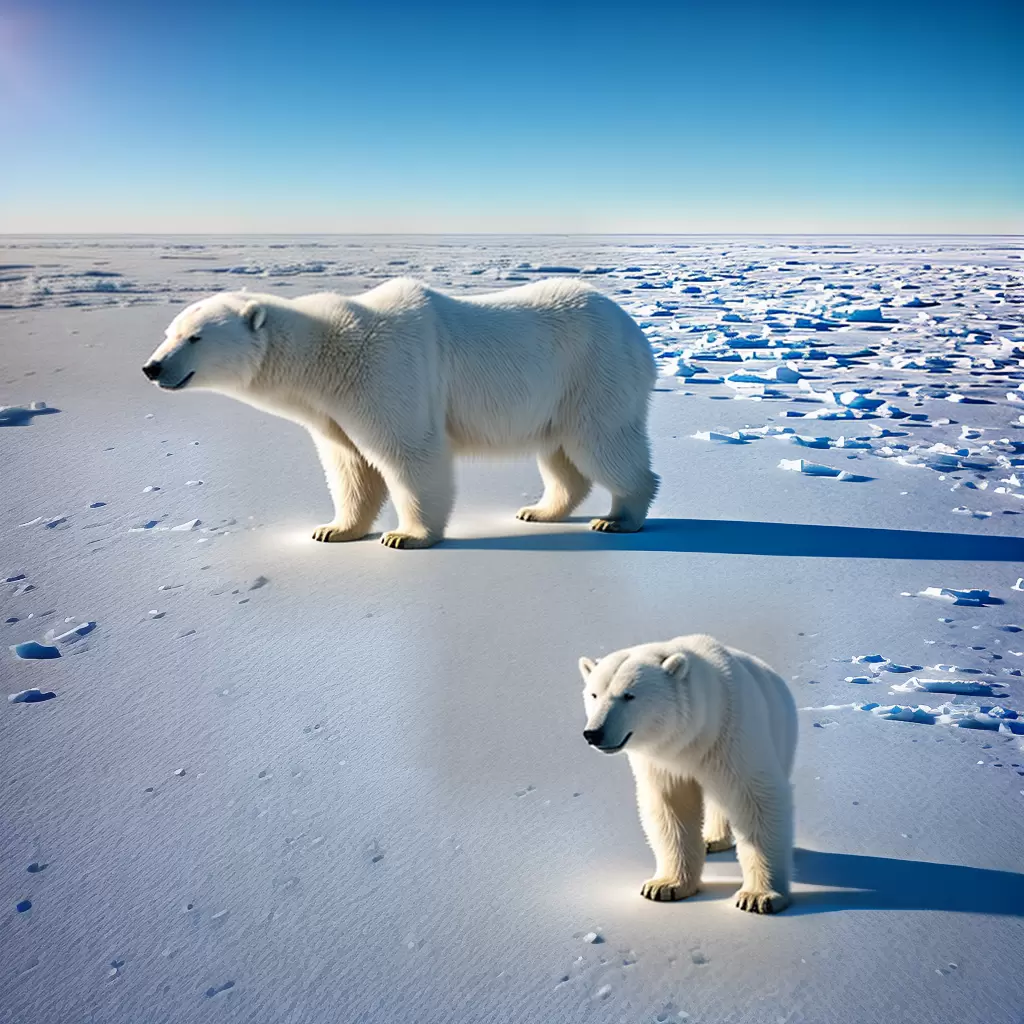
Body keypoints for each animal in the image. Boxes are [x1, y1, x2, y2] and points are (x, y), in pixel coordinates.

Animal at [142, 277, 659, 549]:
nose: (152, 367)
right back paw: (538, 510)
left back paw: (619, 518)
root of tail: (637, 333)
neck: (329, 354)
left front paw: (406, 536)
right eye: (170, 331)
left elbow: (409, 453)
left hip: (593, 374)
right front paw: (333, 529)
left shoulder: (387, 374)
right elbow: (349, 464)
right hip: (557, 397)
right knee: (561, 457)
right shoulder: (333, 409)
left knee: (604, 445)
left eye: (196, 338)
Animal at [579, 634, 797, 914]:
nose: (594, 733)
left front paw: (758, 897)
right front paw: (664, 886)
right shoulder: (662, 761)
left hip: (782, 734)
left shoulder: (733, 736)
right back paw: (712, 839)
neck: (696, 736)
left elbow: (756, 799)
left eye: (629, 695)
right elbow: (671, 808)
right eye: (594, 694)